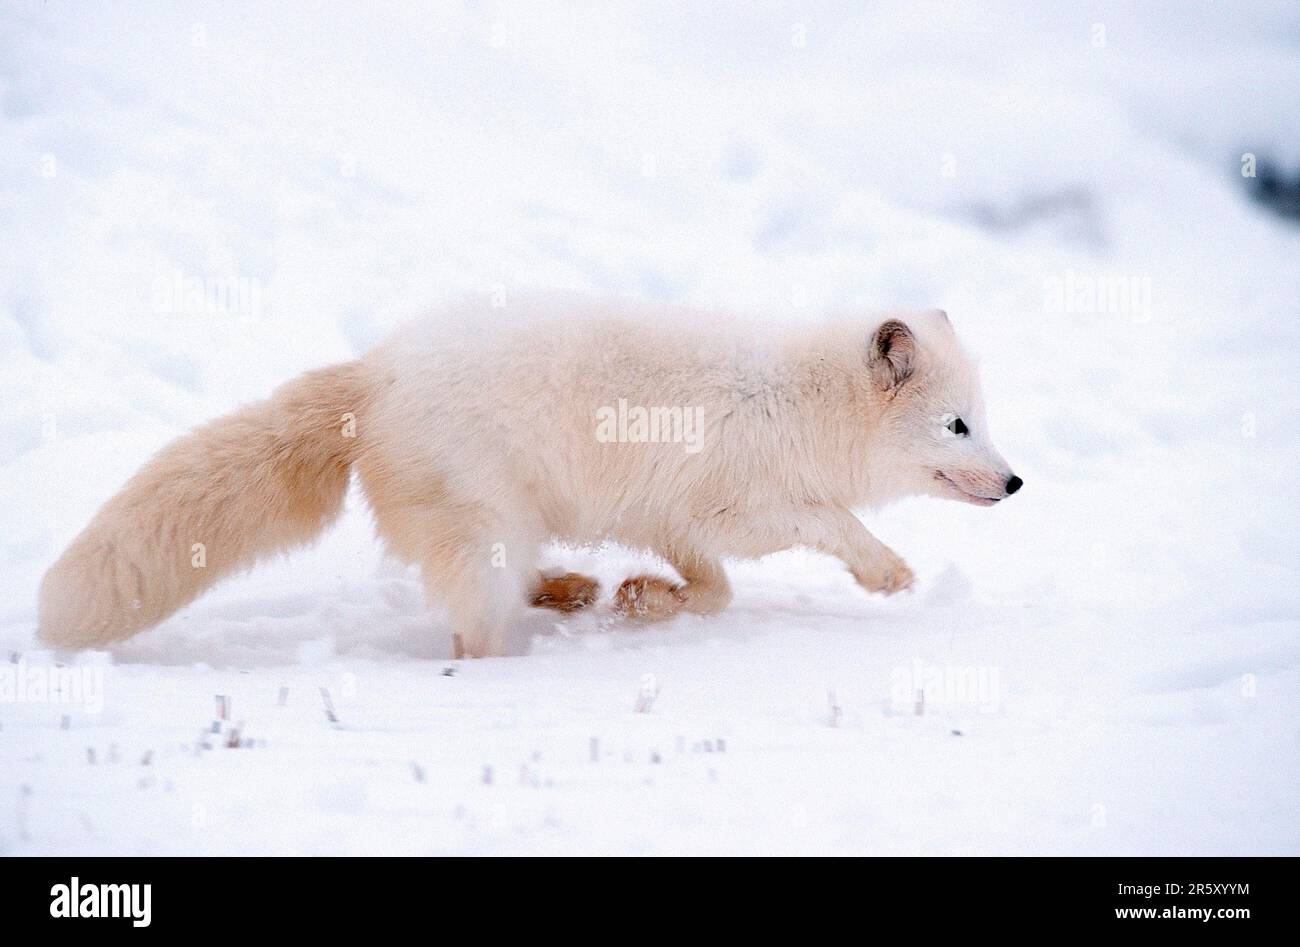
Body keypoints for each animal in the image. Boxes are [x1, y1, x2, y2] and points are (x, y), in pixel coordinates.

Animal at [37, 298, 1021, 657]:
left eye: (982, 416)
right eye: (959, 424)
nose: (1015, 483)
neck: (798, 401)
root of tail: (375, 372)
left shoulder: (674, 518)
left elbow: (714, 592)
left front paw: (646, 601)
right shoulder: (736, 505)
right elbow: (824, 526)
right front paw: (886, 570)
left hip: (506, 521)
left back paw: (574, 588)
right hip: (484, 524)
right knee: (471, 628)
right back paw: (505, 660)